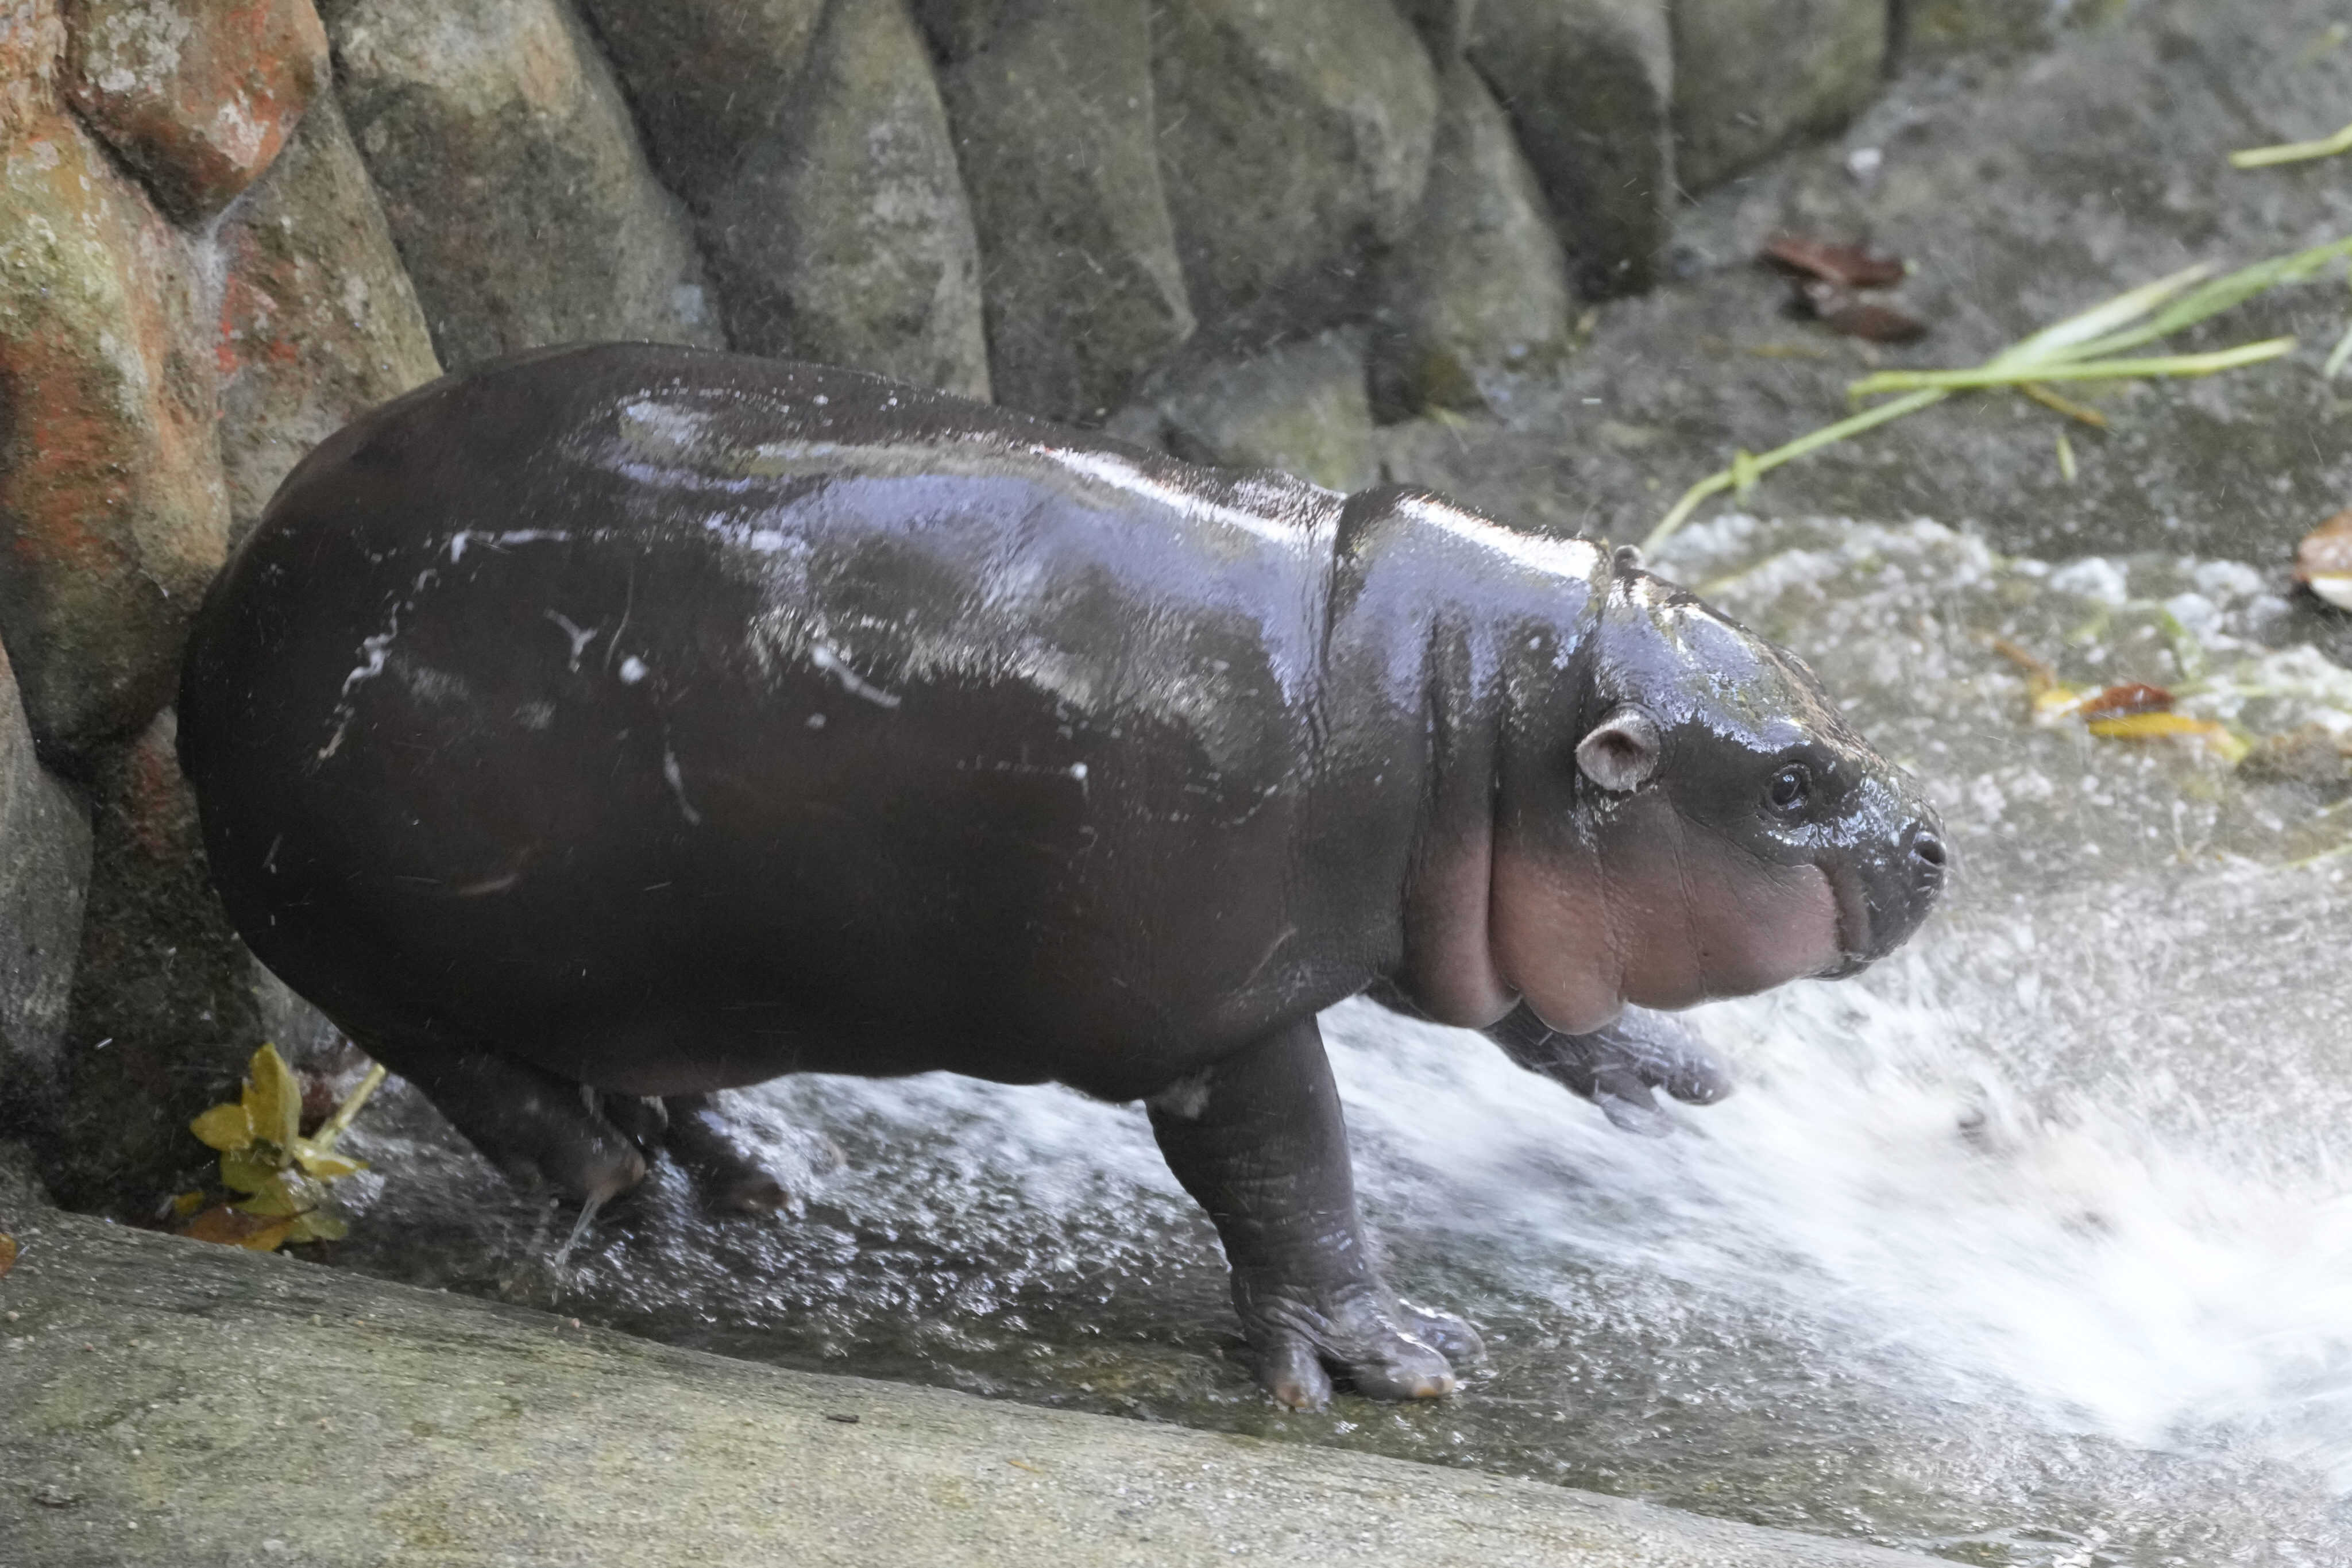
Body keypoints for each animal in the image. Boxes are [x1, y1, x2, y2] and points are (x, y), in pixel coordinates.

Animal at [176, 343, 1944, 1409]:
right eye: (1791, 783)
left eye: (1821, 720)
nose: (1933, 843)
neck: (1462, 699)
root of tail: (230, 592)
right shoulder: (1216, 1012)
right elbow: (1290, 1170)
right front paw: (1389, 1355)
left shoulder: (1435, 902)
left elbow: (1505, 1000)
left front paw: (1659, 1071)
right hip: (364, 946)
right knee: (498, 1089)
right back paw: (635, 1207)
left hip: (636, 972)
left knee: (621, 1068)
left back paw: (749, 1170)